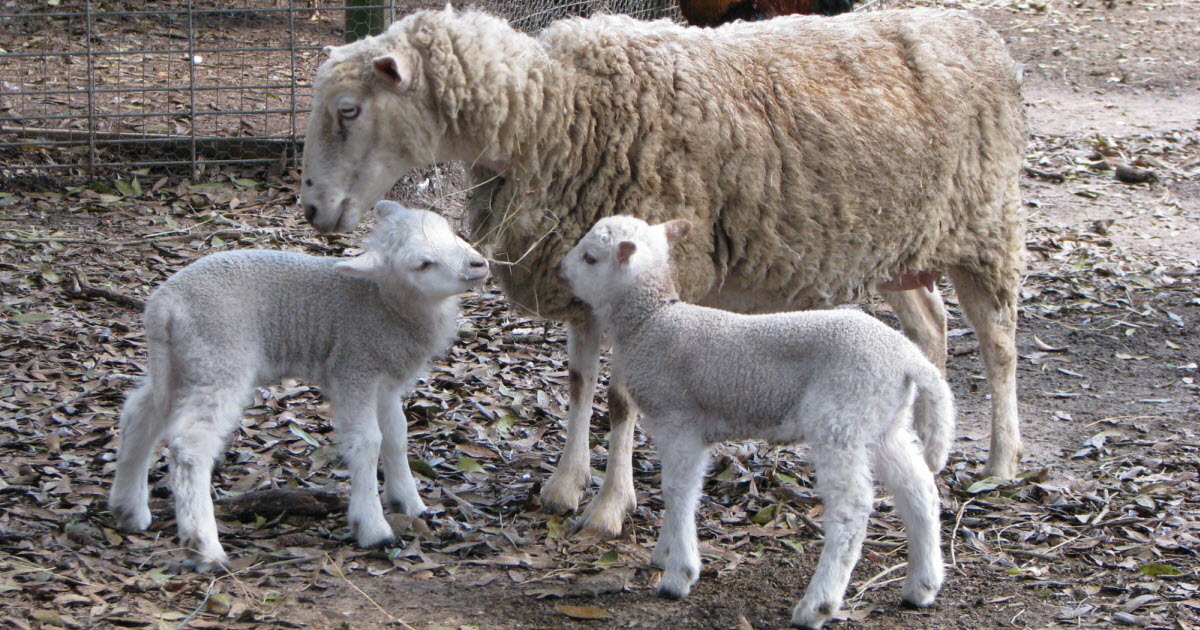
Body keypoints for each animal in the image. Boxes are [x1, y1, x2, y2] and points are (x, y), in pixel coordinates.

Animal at [107, 201, 489, 570]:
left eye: (450, 232)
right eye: (423, 264)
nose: (479, 263)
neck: (383, 302)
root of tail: (164, 305)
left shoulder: (384, 380)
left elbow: (397, 435)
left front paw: (409, 501)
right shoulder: (354, 369)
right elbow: (367, 442)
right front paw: (372, 526)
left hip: (183, 363)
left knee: (139, 414)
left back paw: (129, 509)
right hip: (219, 357)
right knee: (190, 444)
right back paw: (204, 548)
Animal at [299, 6, 1026, 538]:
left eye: (349, 110)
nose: (312, 208)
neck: (558, 114)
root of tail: (979, 32)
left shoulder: (643, 274)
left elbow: (621, 398)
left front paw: (608, 508)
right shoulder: (581, 283)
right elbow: (578, 384)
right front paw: (563, 486)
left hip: (987, 226)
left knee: (998, 345)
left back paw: (1000, 464)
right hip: (906, 248)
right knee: (930, 331)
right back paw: (923, 447)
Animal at [561, 215, 955, 629]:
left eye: (590, 257)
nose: (561, 270)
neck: (652, 321)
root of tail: (909, 360)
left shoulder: (681, 420)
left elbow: (679, 491)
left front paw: (678, 574)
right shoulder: (673, 427)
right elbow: (676, 489)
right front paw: (664, 553)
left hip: (841, 416)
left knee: (851, 510)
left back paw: (817, 605)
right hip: (882, 422)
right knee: (919, 490)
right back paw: (922, 586)